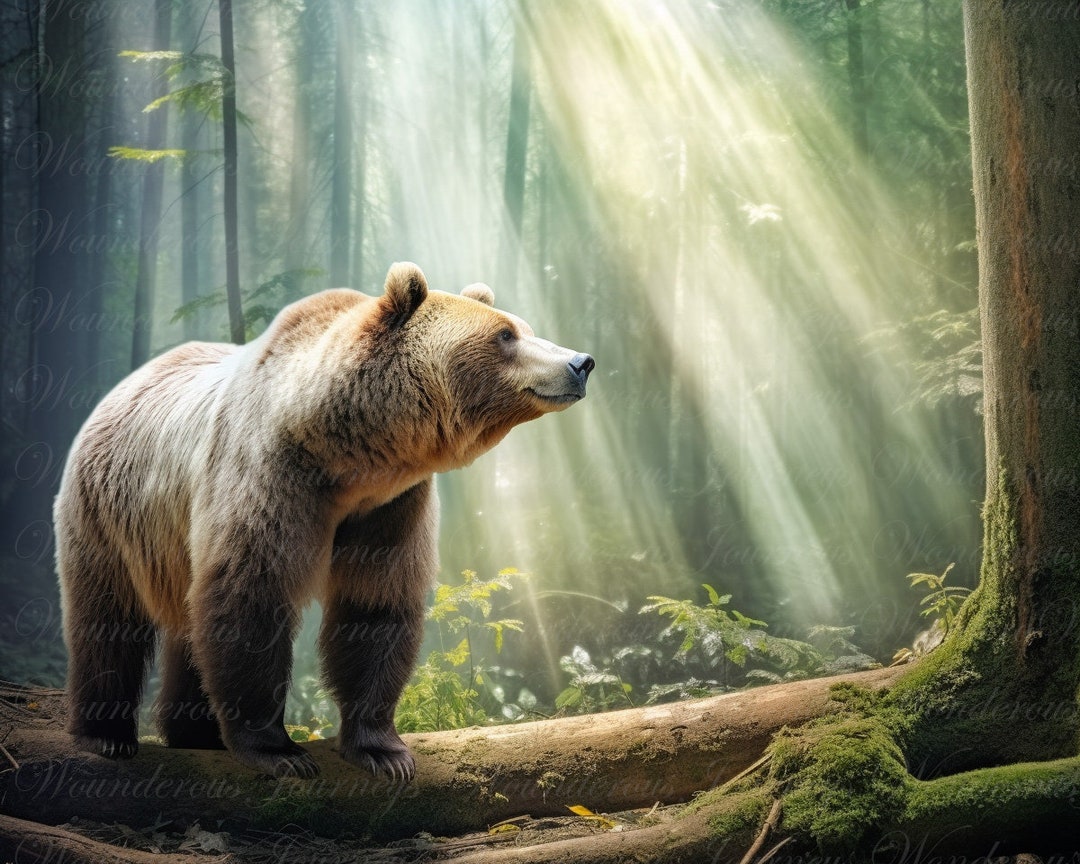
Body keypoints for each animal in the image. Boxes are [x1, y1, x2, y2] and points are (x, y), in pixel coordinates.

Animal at [55, 262, 593, 780]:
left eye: (523, 327)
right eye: (505, 334)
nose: (580, 362)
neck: (346, 454)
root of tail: (121, 387)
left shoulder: (392, 505)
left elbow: (376, 604)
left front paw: (383, 751)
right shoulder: (271, 472)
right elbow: (251, 592)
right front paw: (279, 751)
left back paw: (196, 732)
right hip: (110, 509)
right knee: (106, 617)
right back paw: (106, 734)